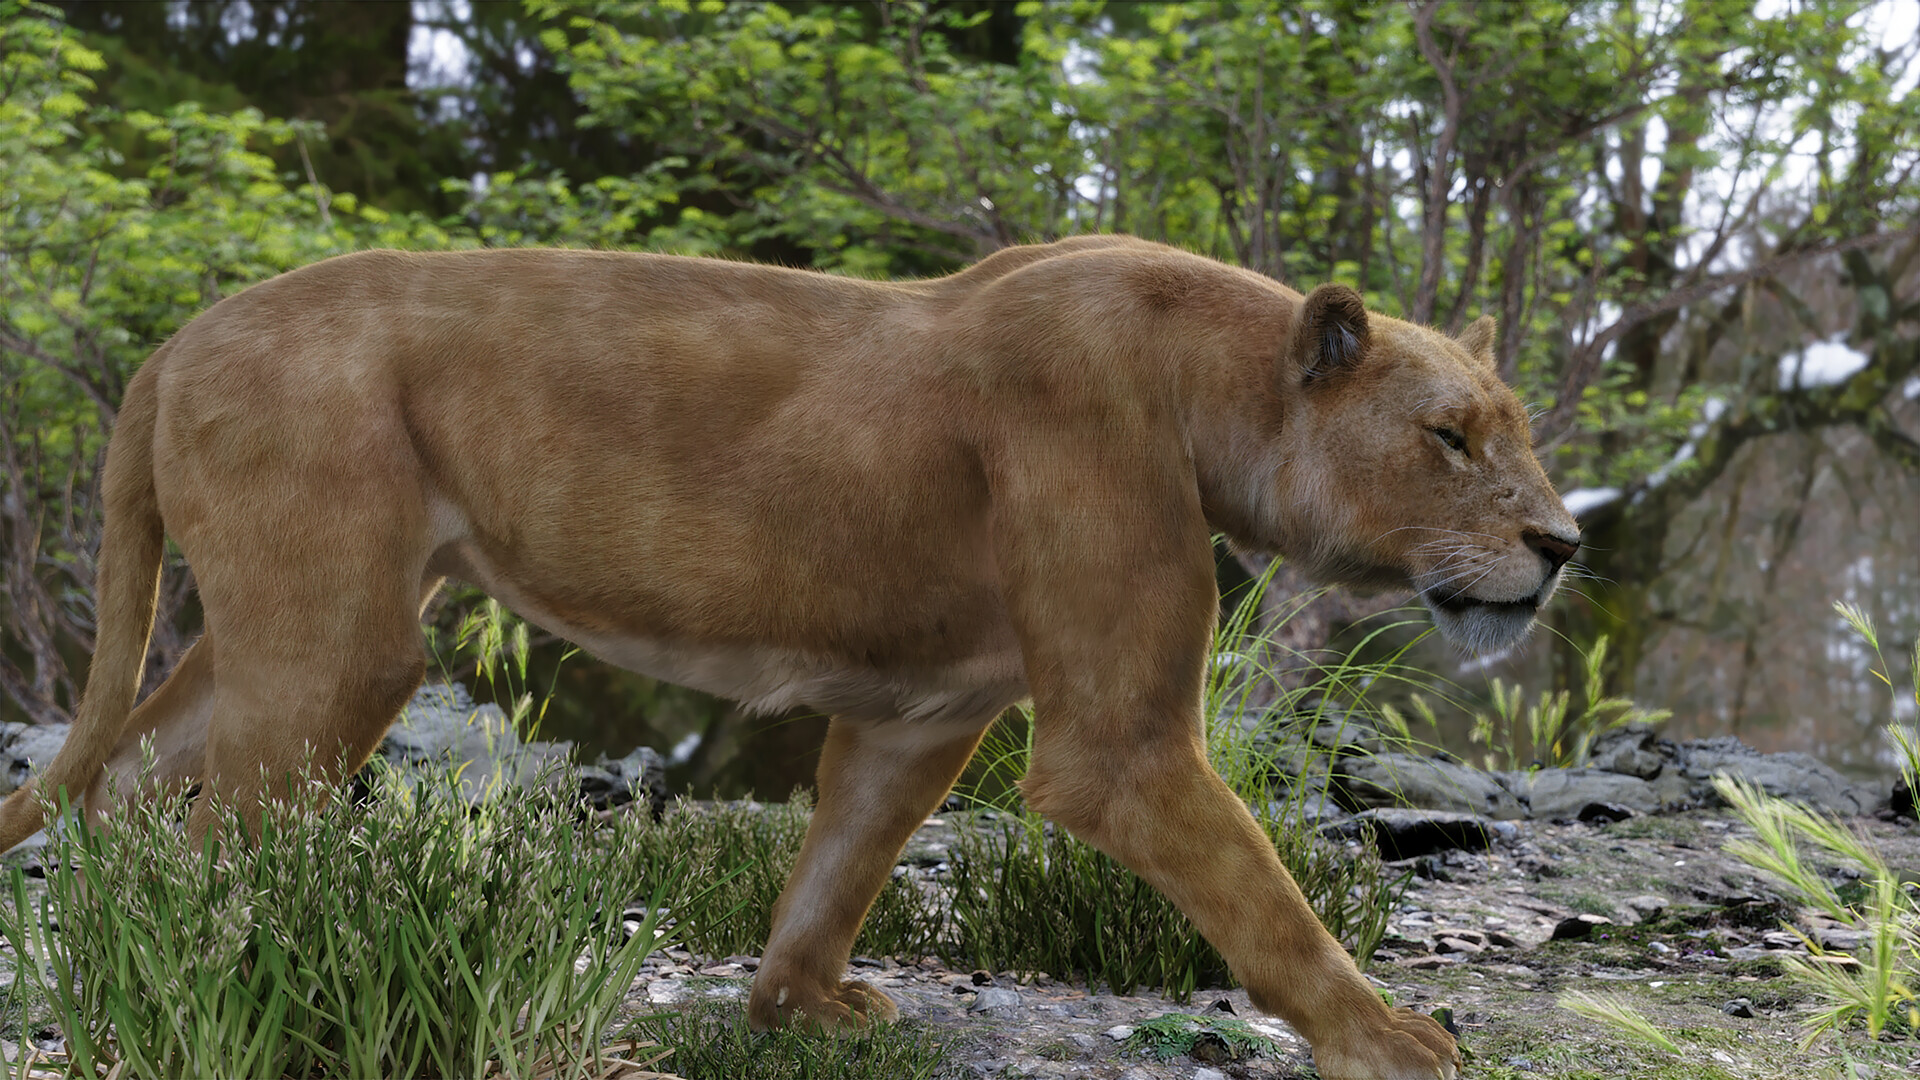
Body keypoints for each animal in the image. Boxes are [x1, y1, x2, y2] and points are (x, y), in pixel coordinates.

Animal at [0, 235, 1578, 1079]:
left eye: (1514, 430)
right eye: (1450, 437)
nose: (1563, 544)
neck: (1213, 393)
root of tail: (176, 340)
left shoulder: (924, 710)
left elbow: (844, 861)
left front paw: (796, 1008)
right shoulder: (1118, 747)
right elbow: (1264, 896)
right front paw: (1389, 1038)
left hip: (279, 623)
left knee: (128, 780)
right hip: (337, 635)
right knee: (213, 842)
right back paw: (193, 993)